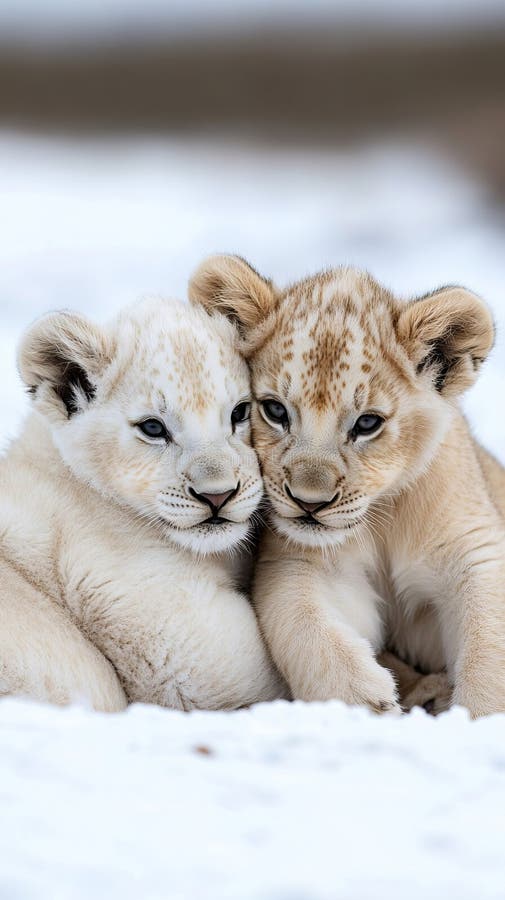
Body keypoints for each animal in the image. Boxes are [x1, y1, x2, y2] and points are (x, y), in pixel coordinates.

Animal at [190, 254, 504, 717]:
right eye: (275, 411)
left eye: (368, 423)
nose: (309, 503)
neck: (384, 519)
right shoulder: (301, 563)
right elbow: (300, 621)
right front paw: (363, 697)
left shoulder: (474, 547)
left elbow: (489, 643)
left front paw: (479, 717)